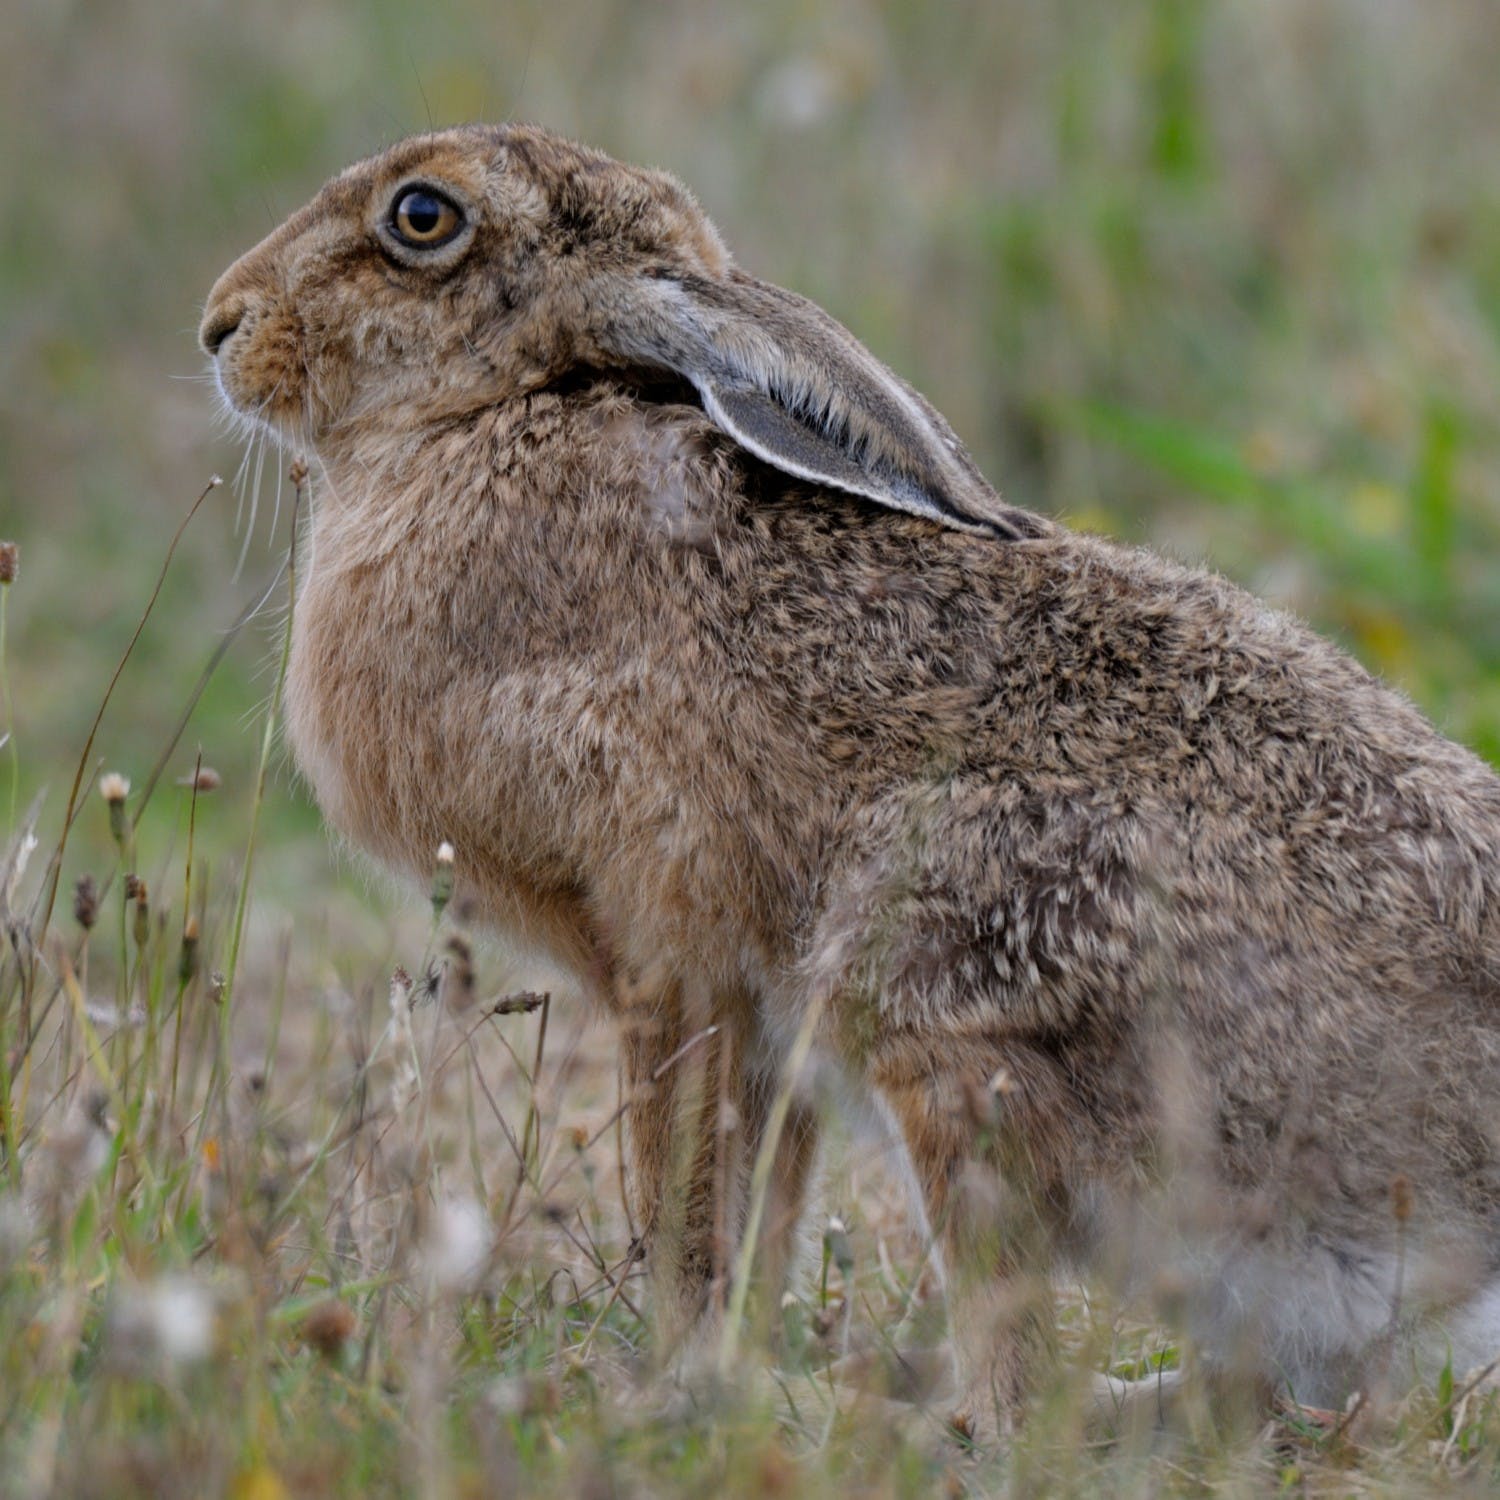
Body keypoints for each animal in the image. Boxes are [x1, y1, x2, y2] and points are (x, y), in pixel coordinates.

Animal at [200, 123, 1500, 1440]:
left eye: (422, 216)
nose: (220, 325)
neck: (503, 411)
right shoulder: (765, 1023)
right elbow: (755, 1207)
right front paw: (725, 1366)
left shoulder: (669, 952)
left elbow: (678, 1191)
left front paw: (674, 1382)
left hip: (950, 986)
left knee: (1021, 1383)